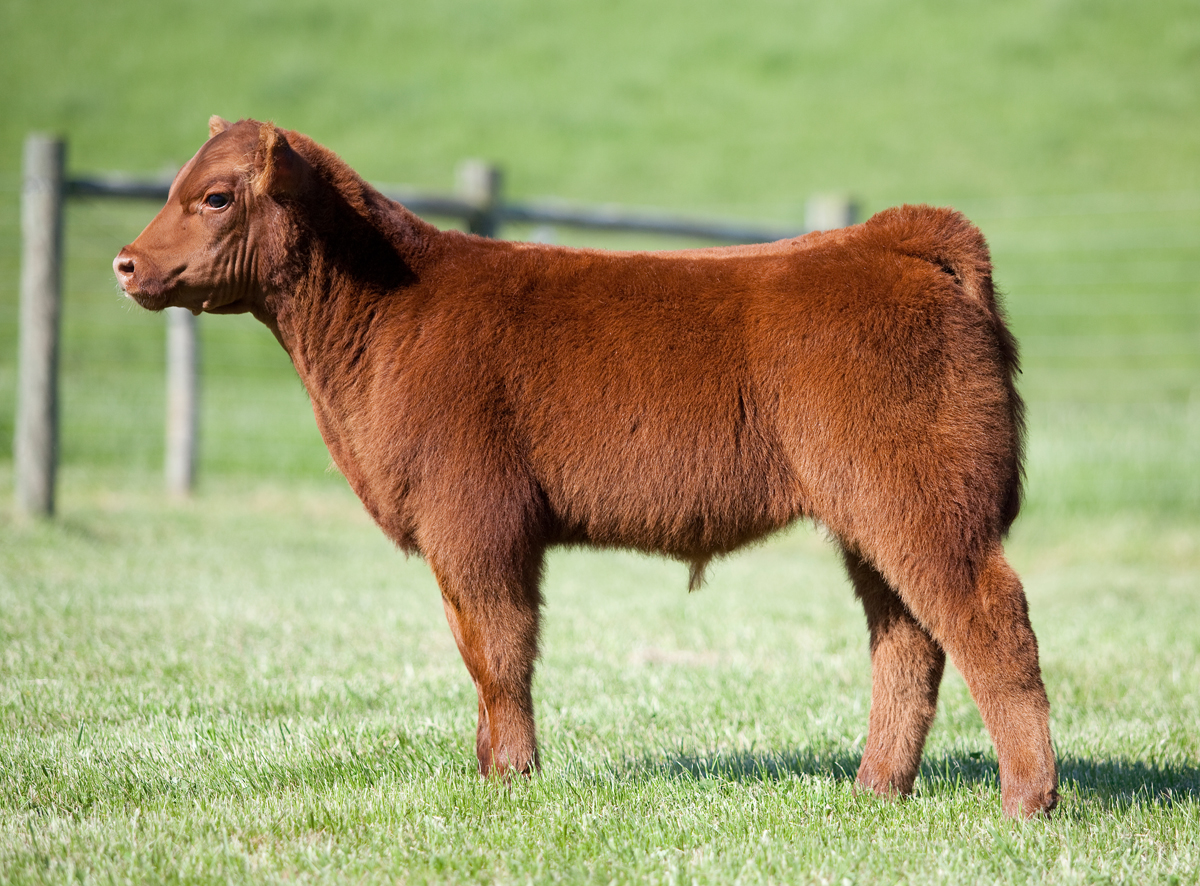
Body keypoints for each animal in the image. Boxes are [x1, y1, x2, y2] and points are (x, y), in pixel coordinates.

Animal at [113, 117, 1059, 817]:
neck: (380, 318)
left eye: (214, 196)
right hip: (872, 512)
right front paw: (489, 770)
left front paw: (511, 779)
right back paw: (874, 789)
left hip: (920, 497)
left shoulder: (476, 518)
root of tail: (896, 237)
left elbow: (500, 650)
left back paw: (1026, 800)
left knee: (988, 619)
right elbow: (475, 648)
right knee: (908, 638)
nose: (126, 262)